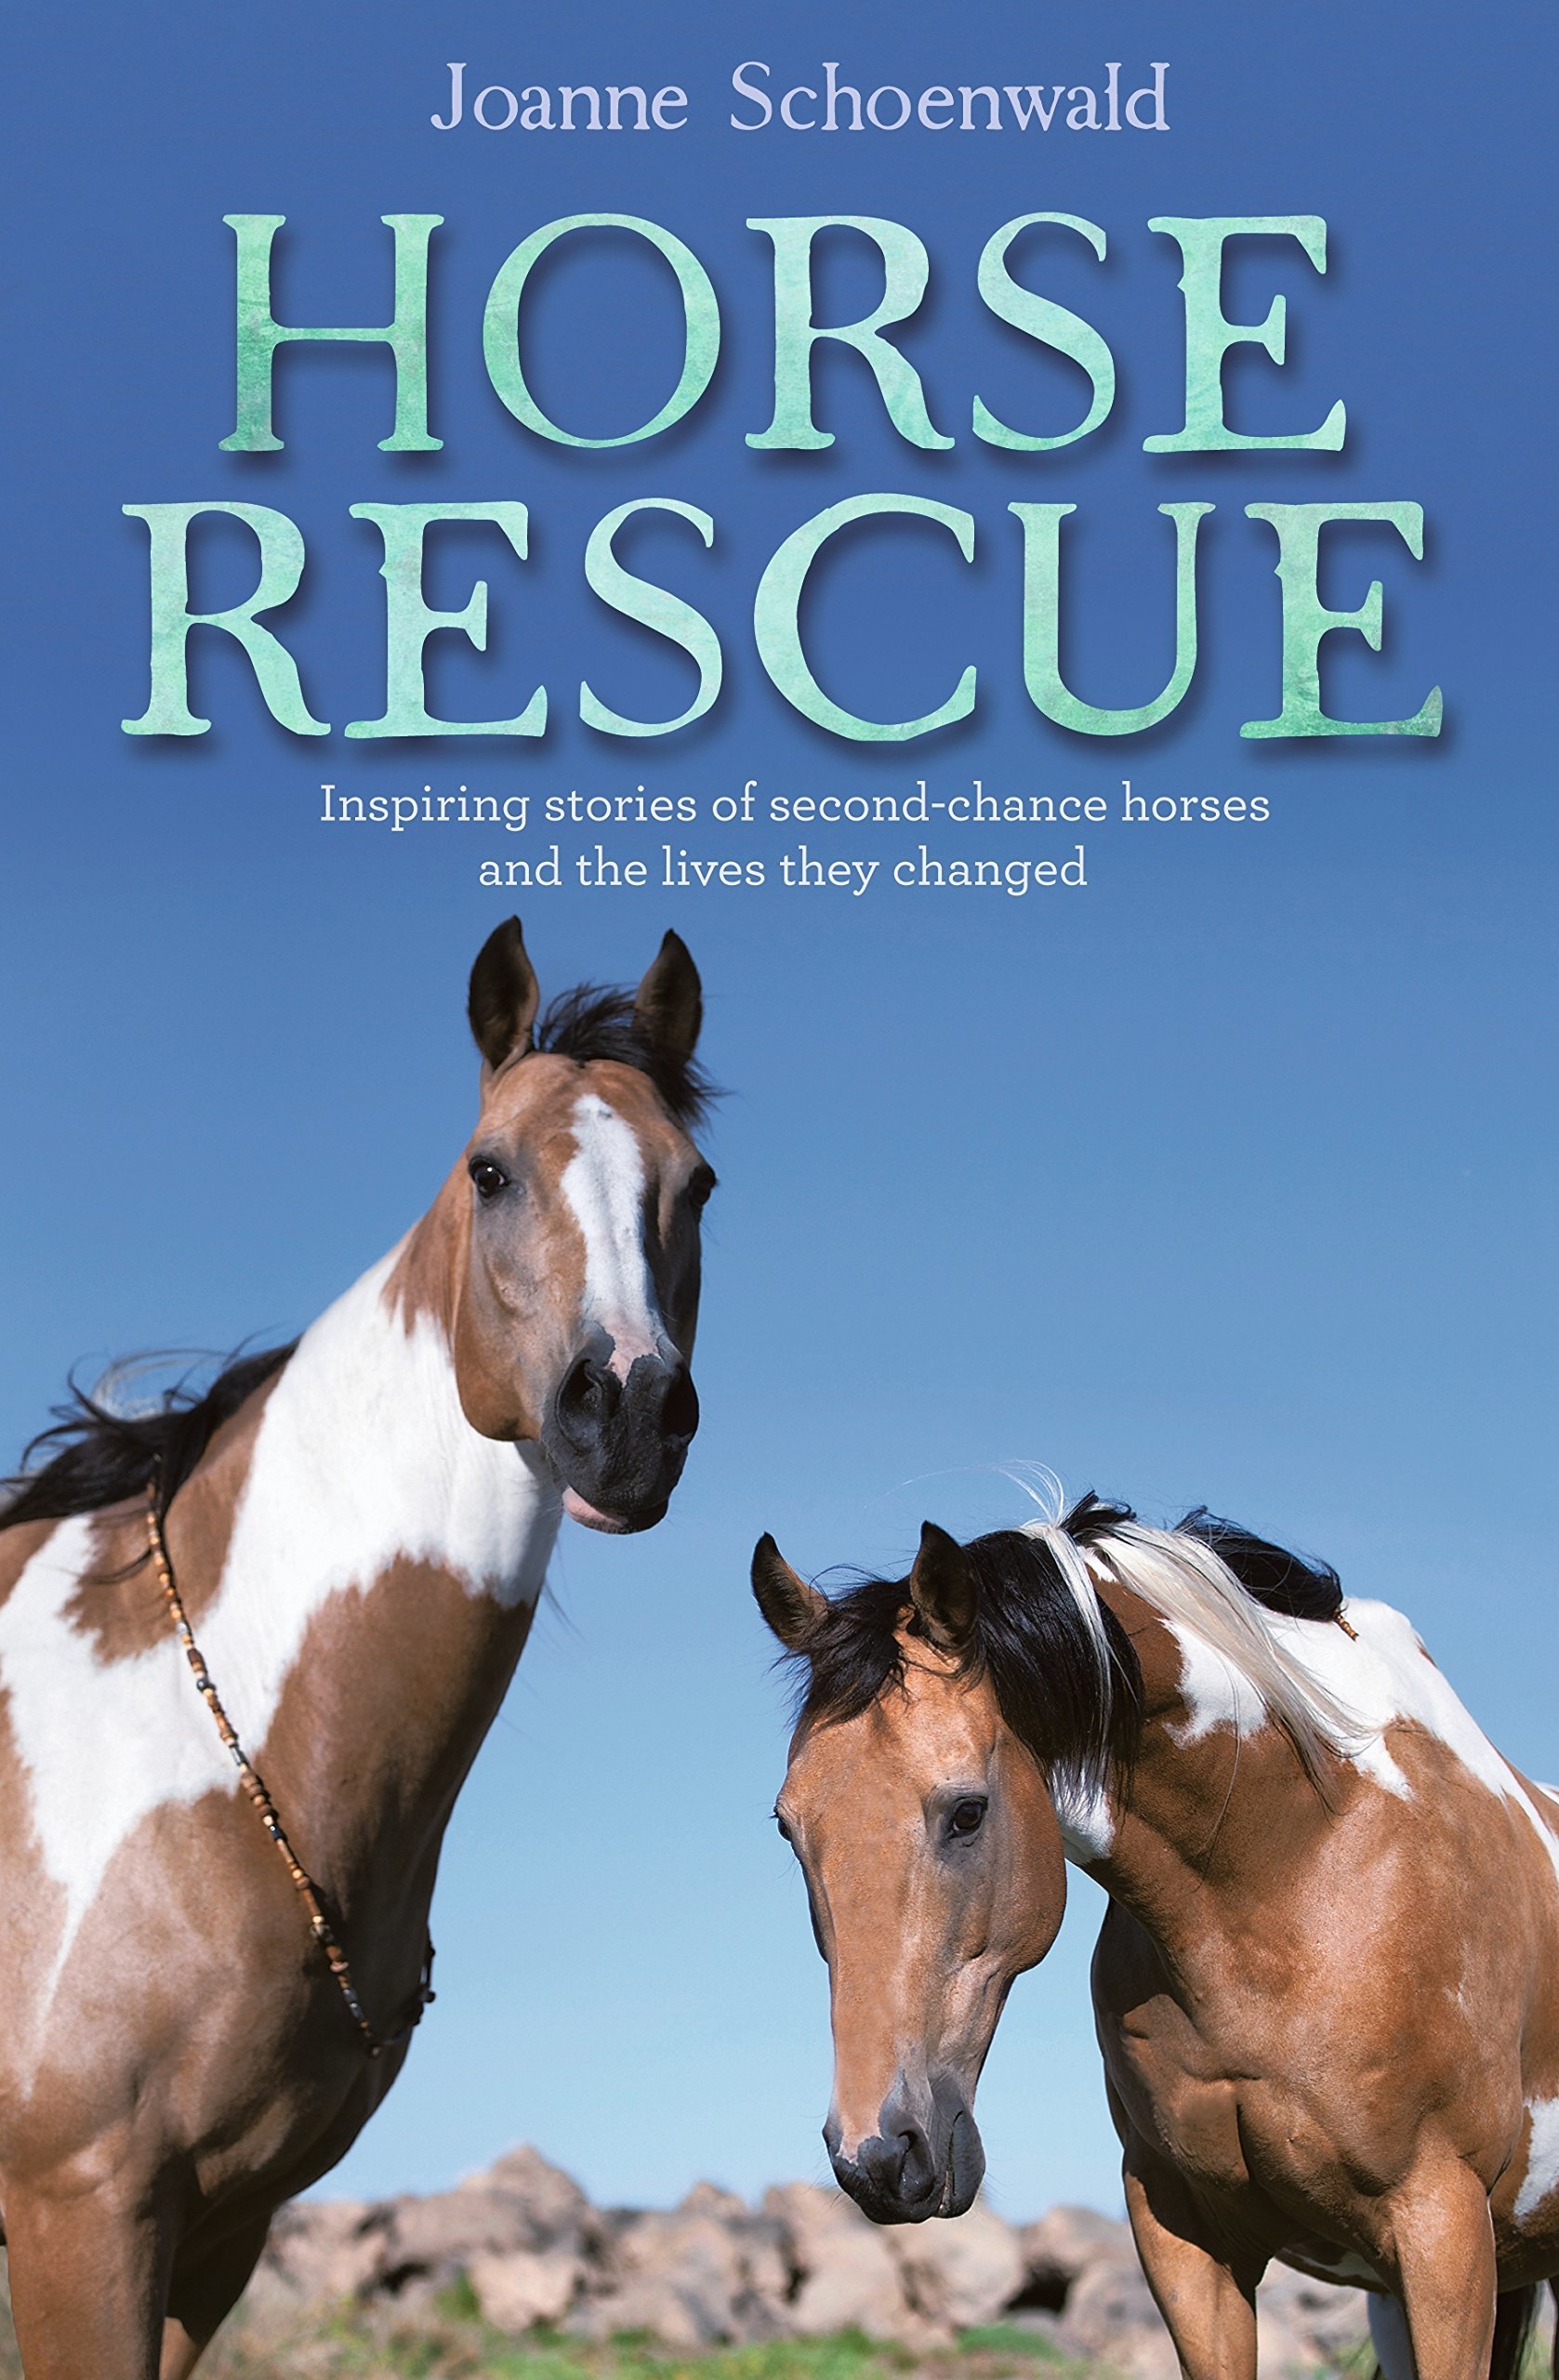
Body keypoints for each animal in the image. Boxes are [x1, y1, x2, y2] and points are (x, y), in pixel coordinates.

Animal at [753, 1495, 1559, 2380]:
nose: (878, 2158)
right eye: (788, 1828)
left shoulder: (1441, 2232)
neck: (1297, 1866)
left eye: (966, 1812)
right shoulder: (1183, 2237)